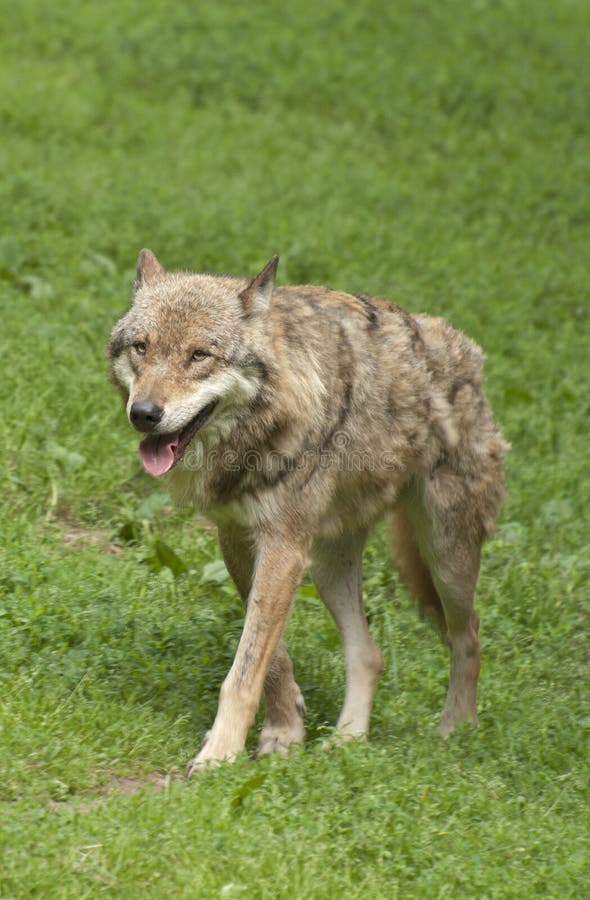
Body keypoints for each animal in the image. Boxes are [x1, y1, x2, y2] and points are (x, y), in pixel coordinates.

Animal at [108, 249, 508, 774]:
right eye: (141, 347)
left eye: (199, 355)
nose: (145, 413)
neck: (254, 436)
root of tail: (467, 350)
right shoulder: (242, 543)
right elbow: (272, 660)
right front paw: (284, 733)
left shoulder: (283, 548)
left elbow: (243, 673)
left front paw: (219, 755)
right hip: (328, 568)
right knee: (369, 654)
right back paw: (348, 740)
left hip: (446, 560)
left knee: (470, 636)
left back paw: (455, 729)